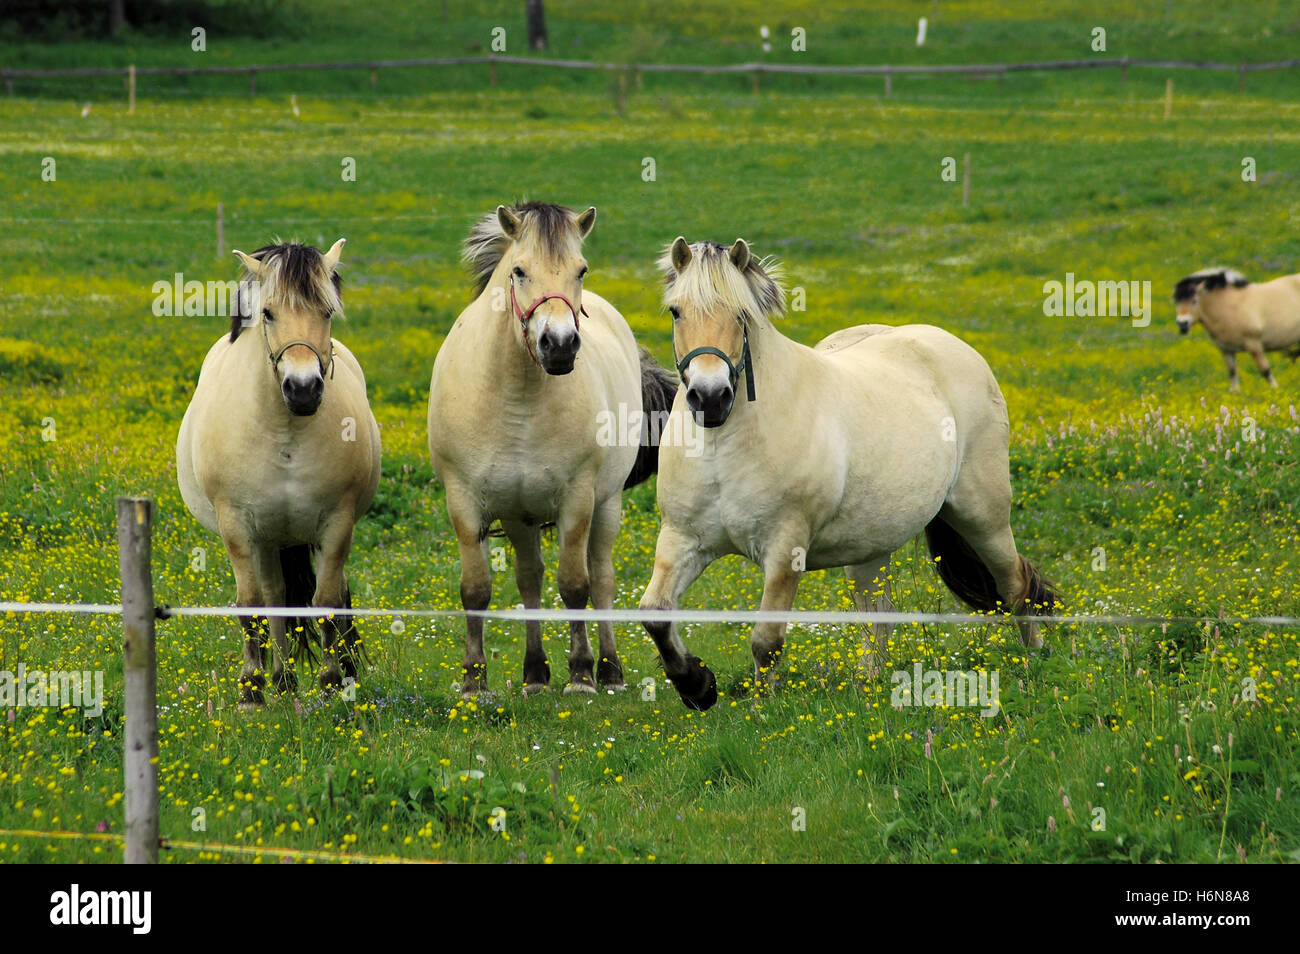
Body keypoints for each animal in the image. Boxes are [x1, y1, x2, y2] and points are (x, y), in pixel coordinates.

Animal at [176, 239, 382, 709]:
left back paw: (336, 674)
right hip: (267, 540)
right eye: (268, 313)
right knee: (275, 597)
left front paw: (331, 682)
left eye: (327, 310)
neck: (284, 431)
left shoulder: (336, 524)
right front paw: (251, 690)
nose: (303, 389)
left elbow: (326, 604)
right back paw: (282, 680)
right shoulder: (238, 528)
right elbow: (252, 607)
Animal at [428, 202, 676, 698]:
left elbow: (576, 585)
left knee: (602, 579)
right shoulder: (465, 503)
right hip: (519, 518)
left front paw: (581, 675)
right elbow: (477, 590)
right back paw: (535, 674)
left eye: (581, 269)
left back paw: (610, 670)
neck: (517, 398)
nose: (559, 345)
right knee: (529, 580)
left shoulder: (577, 500)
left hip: (607, 505)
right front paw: (474, 681)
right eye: (519, 271)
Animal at [637, 237, 1060, 710]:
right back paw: (868, 688)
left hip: (982, 516)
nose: (710, 398)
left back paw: (1034, 663)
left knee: (1015, 584)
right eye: (676, 311)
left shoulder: (784, 550)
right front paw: (697, 685)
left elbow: (766, 641)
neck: (724, 446)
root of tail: (954, 347)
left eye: (741, 314)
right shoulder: (683, 540)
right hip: (870, 546)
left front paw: (760, 709)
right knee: (879, 617)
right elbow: (655, 615)